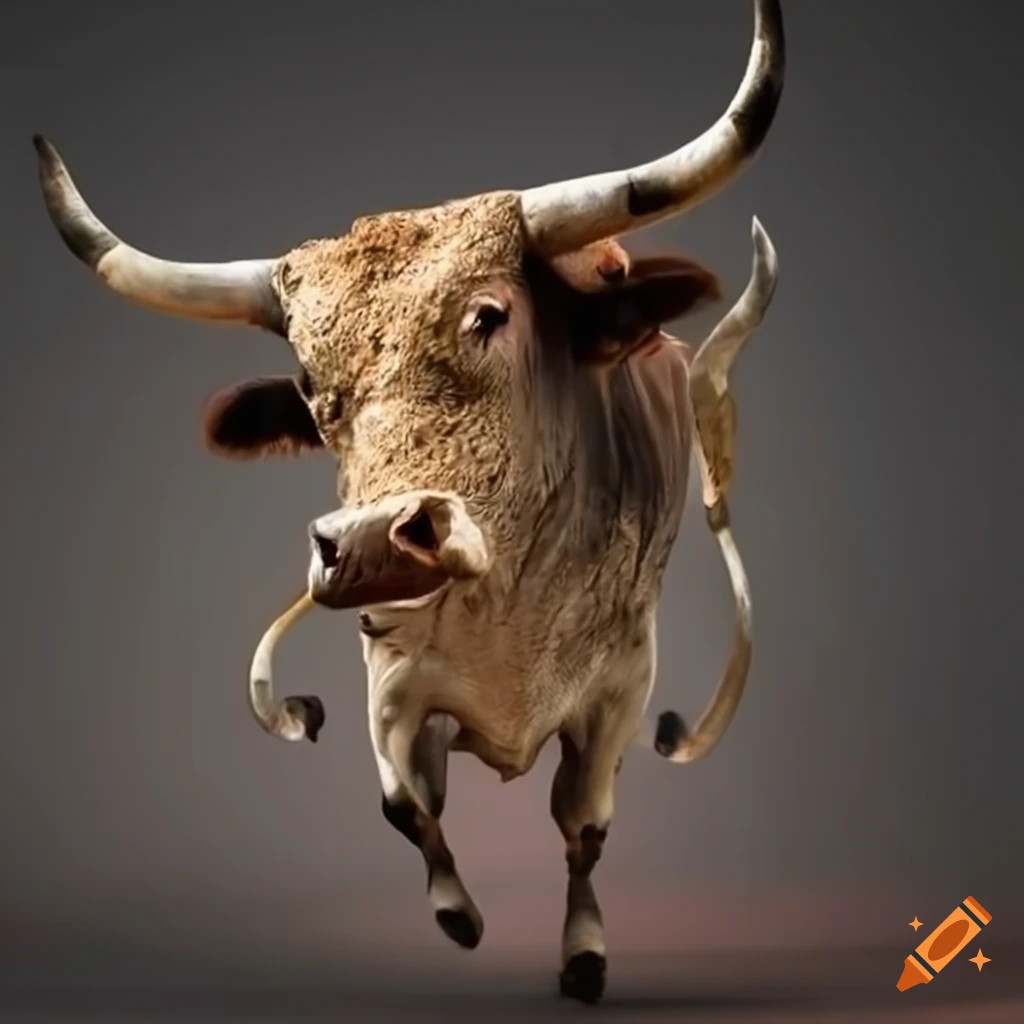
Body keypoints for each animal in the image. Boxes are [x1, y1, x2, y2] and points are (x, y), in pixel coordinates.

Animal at [33, 0, 785, 1003]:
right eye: (310, 381)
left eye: (489, 315)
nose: (372, 544)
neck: (511, 610)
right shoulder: (390, 674)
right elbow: (405, 805)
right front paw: (458, 915)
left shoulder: (625, 681)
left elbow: (583, 826)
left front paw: (584, 953)